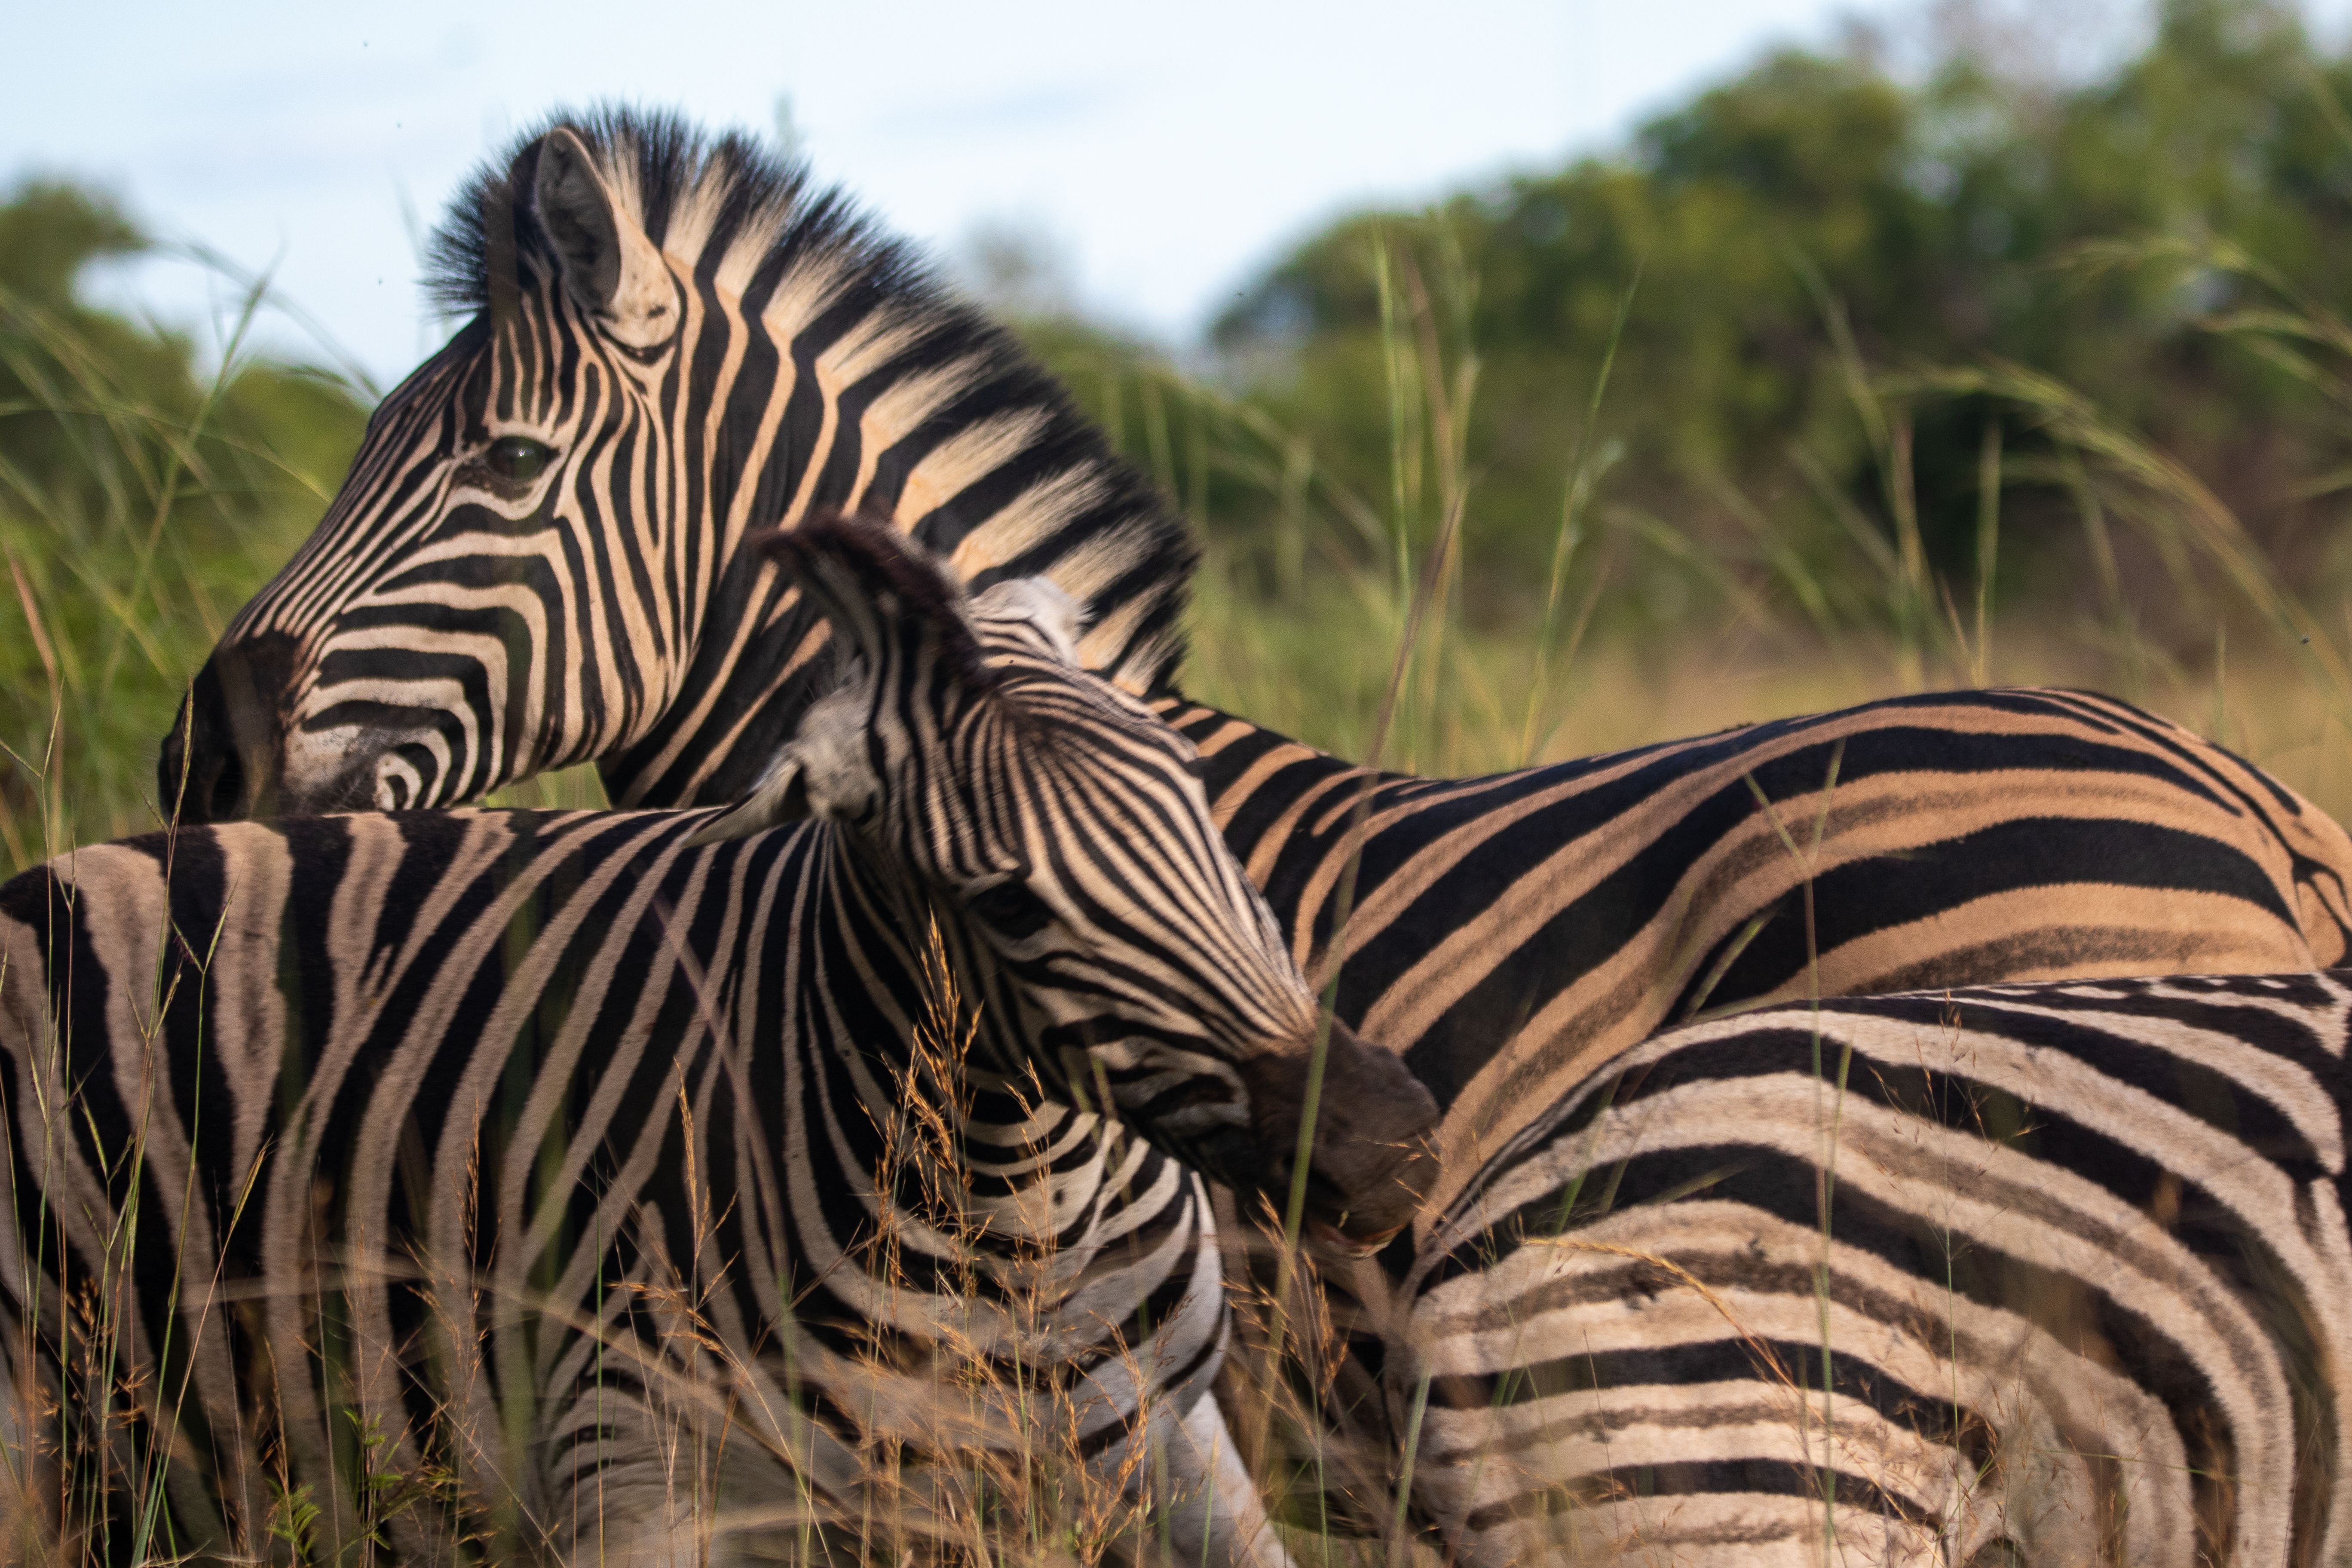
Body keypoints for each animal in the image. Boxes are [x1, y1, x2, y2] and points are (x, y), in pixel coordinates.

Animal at [0, 516, 1437, 1565]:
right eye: (1010, 904)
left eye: (1204, 808)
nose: (1390, 1148)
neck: (1017, 1207)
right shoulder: (631, 1470)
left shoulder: (1174, 1441)